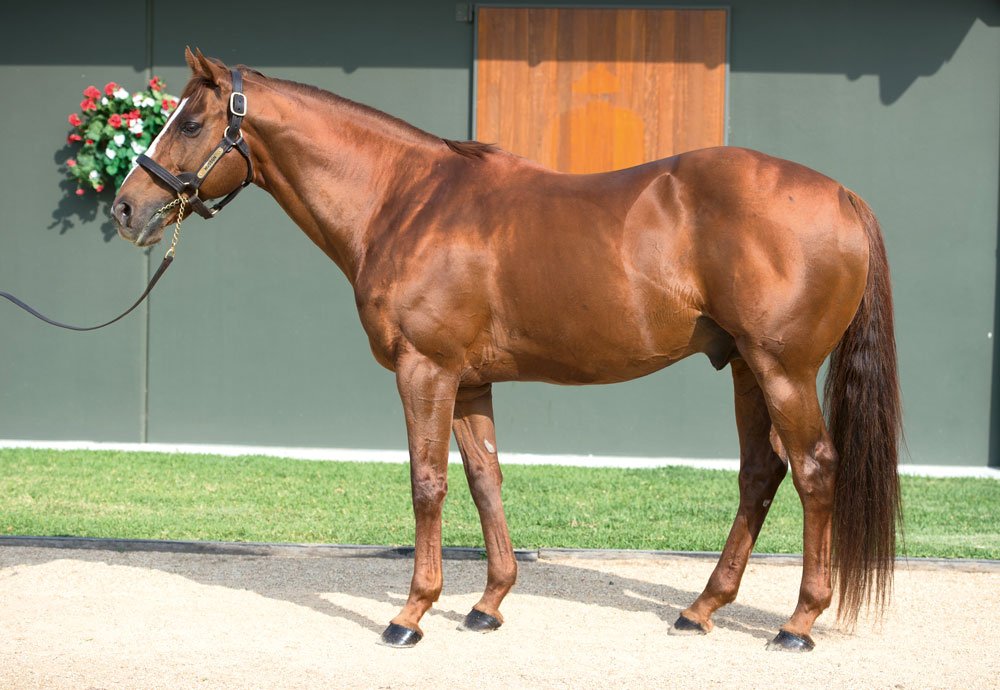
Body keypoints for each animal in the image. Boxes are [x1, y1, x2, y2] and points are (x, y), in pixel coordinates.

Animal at [112, 49, 901, 652]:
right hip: (742, 367)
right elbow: (485, 480)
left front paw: (411, 613)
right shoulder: (468, 382)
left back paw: (797, 623)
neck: (404, 200)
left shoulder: (424, 370)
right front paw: (487, 604)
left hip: (782, 369)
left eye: (191, 121)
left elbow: (427, 483)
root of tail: (840, 194)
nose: (125, 208)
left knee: (814, 470)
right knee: (761, 473)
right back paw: (701, 608)